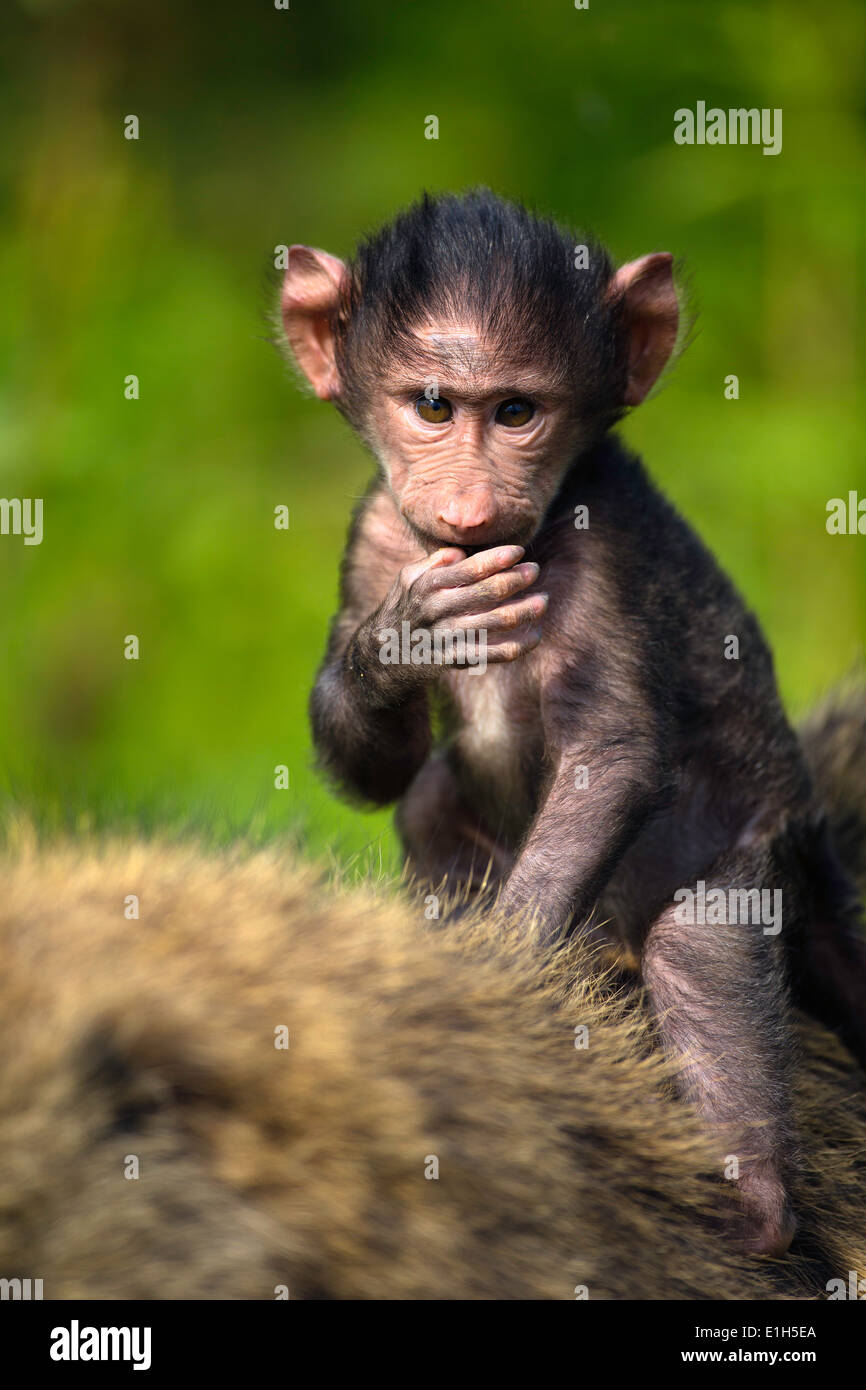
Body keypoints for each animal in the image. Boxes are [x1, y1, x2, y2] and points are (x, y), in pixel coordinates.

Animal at [279, 188, 866, 1259]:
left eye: (517, 412)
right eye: (434, 406)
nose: (472, 501)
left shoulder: (604, 543)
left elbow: (616, 751)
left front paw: (494, 977)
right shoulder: (374, 533)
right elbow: (381, 774)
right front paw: (402, 638)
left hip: (755, 859)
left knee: (699, 953)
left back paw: (746, 1203)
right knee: (430, 805)